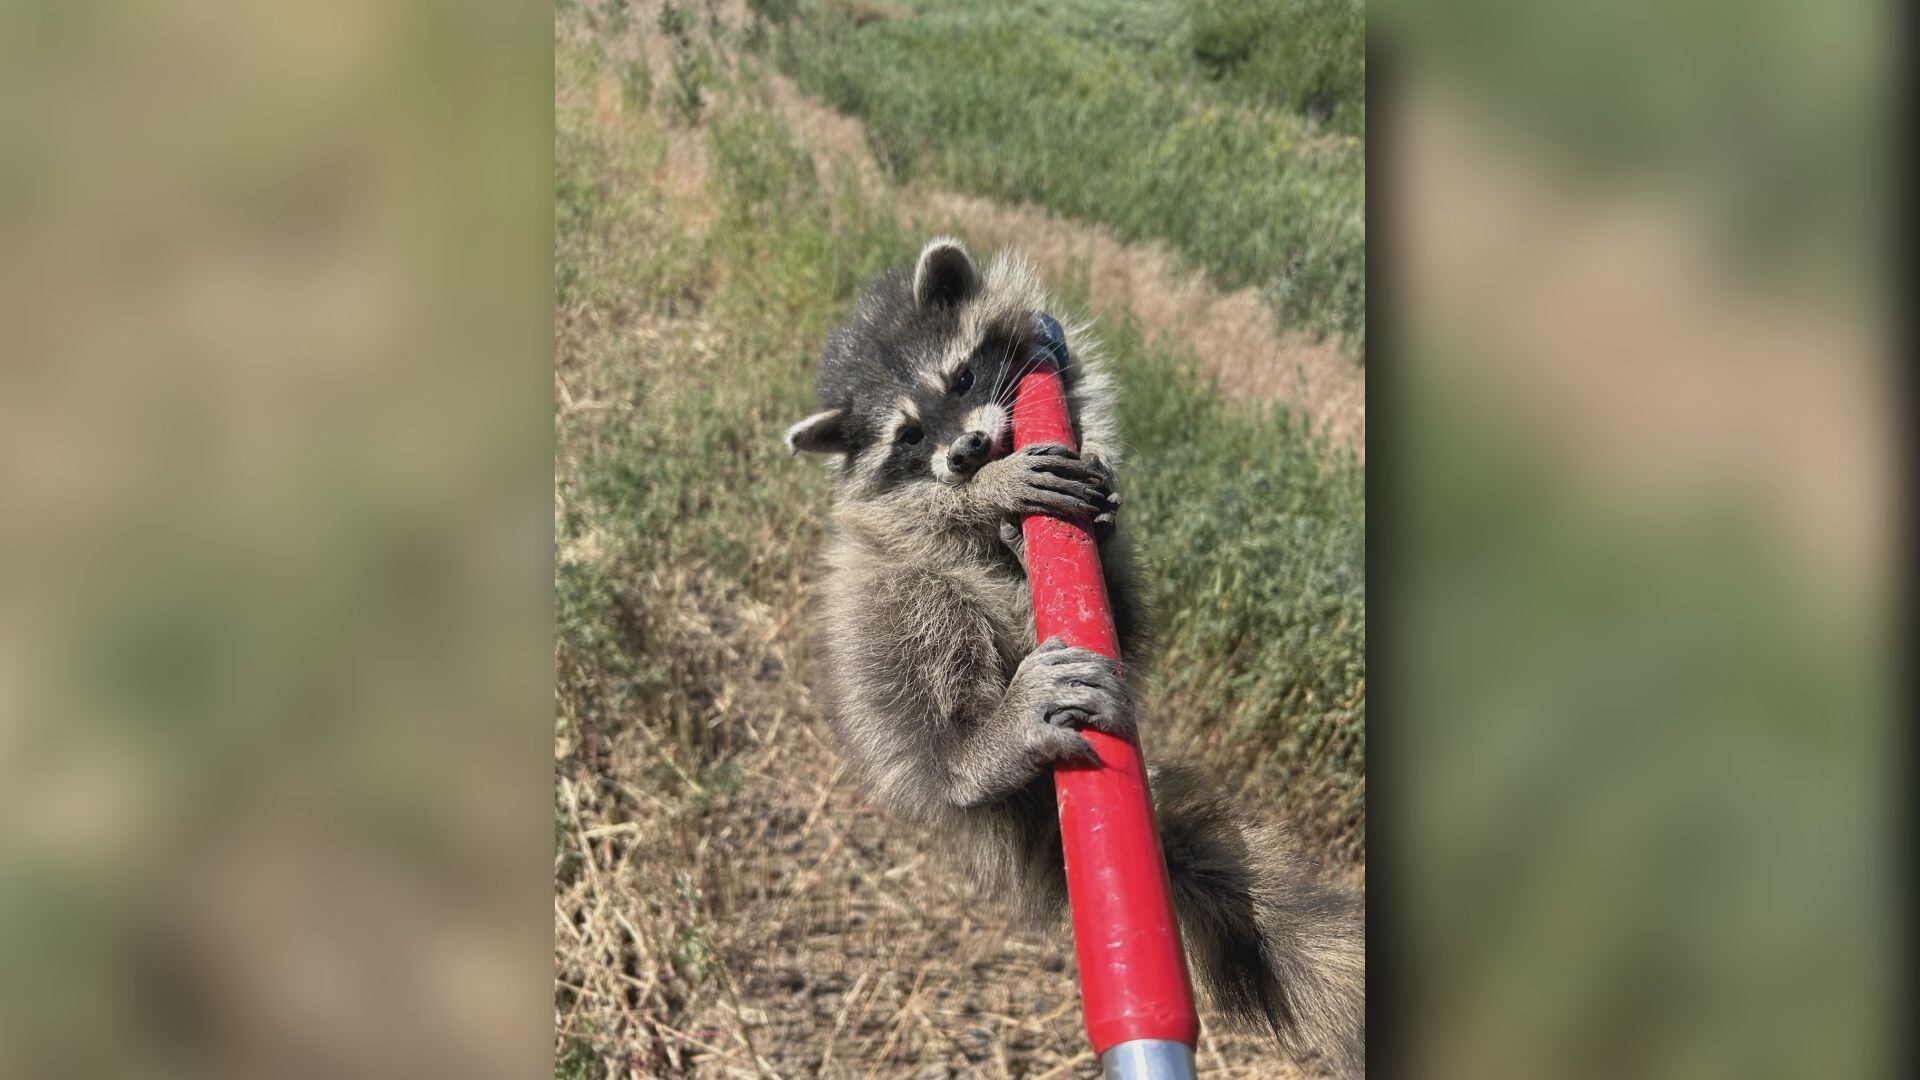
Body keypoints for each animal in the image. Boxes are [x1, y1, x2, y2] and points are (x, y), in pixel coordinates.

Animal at [785, 238, 1364, 1074]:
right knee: (915, 608)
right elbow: (924, 515)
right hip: (889, 640)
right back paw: (969, 753)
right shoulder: (883, 513)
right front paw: (984, 492)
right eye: (909, 437)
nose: (965, 451)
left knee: (1115, 595)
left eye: (961, 379)